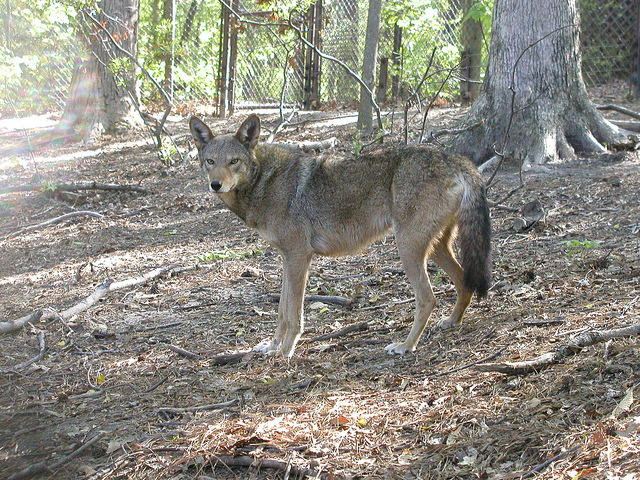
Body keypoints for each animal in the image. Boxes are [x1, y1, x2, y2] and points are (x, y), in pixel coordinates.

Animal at [190, 114, 491, 357]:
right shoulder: (287, 259)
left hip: (408, 248)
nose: (215, 185)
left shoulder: (299, 257)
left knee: (428, 298)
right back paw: (452, 322)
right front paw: (273, 346)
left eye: (234, 161)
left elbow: (294, 314)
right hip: (435, 248)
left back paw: (406, 345)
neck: (264, 180)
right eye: (210, 161)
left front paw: (286, 352)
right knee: (464, 282)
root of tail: (455, 158)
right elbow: (282, 311)